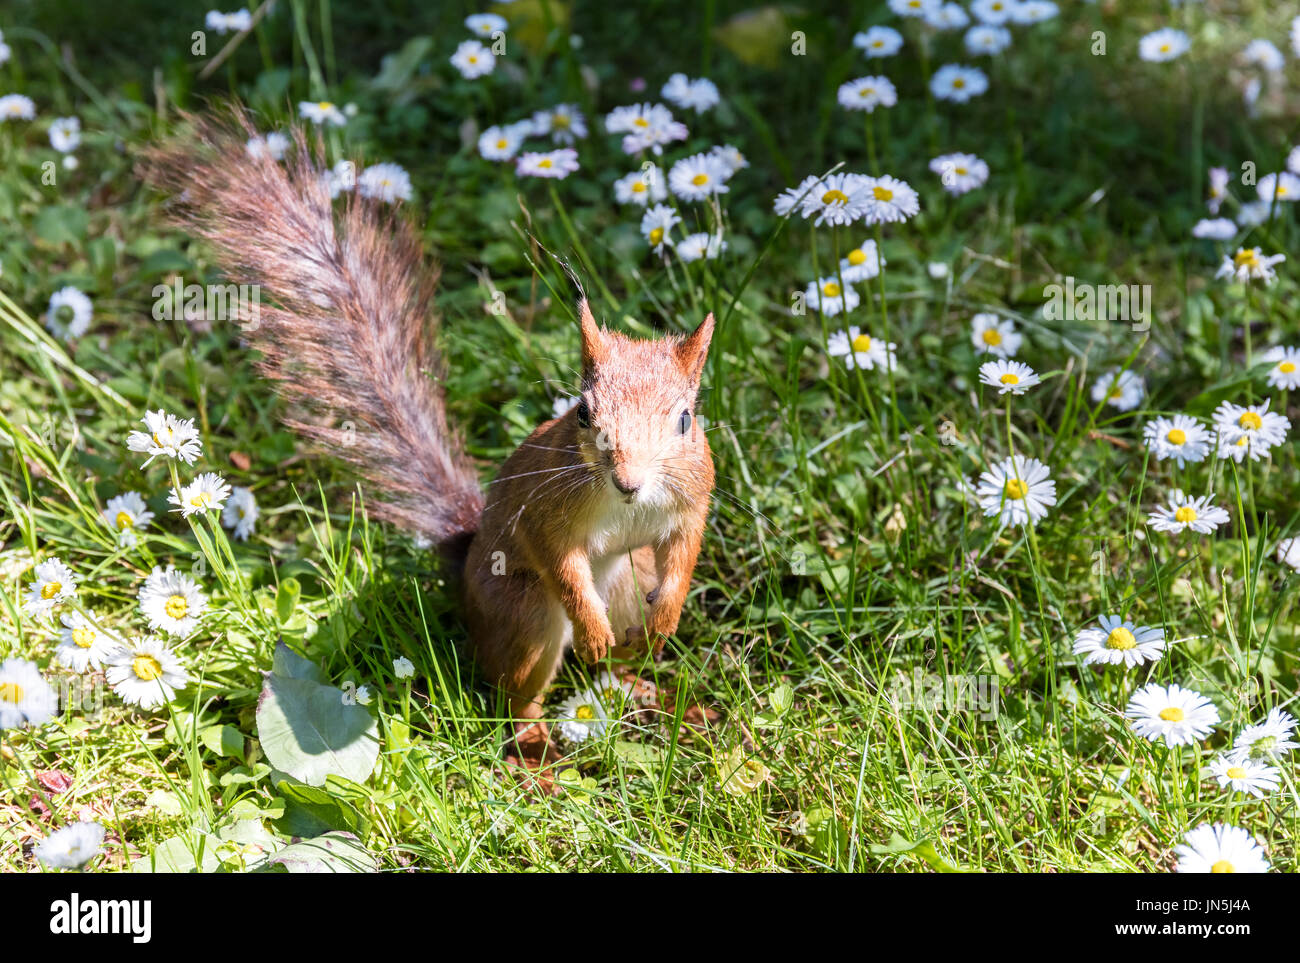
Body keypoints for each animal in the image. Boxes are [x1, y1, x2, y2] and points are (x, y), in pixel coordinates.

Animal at [142, 111, 715, 754]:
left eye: (685, 420)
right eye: (584, 414)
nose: (628, 481)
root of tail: (466, 569)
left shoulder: (691, 498)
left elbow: (684, 550)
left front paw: (669, 616)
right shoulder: (547, 510)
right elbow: (561, 562)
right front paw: (591, 631)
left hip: (629, 582)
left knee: (617, 658)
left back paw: (645, 684)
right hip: (524, 611)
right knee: (517, 688)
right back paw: (537, 744)